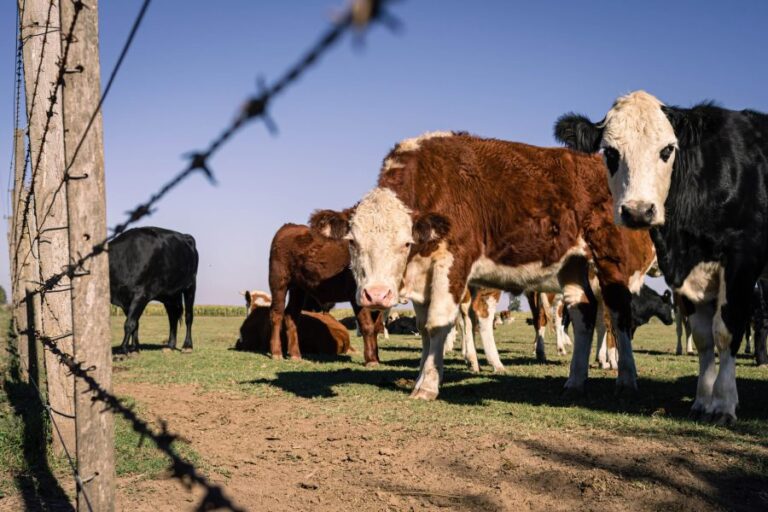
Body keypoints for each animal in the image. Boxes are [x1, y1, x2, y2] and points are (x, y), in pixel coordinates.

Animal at [268, 223, 383, 365]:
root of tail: (289, 226)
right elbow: (367, 325)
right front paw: (371, 360)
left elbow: (376, 327)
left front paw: (376, 357)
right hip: (278, 281)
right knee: (276, 313)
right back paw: (276, 352)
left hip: (298, 288)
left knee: (291, 315)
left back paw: (296, 355)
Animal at [310, 131, 656, 400]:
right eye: (353, 242)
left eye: (405, 243)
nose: (377, 295)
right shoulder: (422, 277)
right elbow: (423, 330)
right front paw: (424, 374)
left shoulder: (454, 262)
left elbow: (437, 324)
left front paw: (428, 385)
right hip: (572, 263)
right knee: (582, 312)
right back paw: (574, 382)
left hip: (611, 258)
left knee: (618, 313)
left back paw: (626, 378)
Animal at [555, 90, 768, 423]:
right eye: (610, 152)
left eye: (667, 150)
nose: (638, 211)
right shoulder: (687, 275)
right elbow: (703, 337)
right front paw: (702, 401)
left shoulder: (742, 262)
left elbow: (725, 330)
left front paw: (723, 404)